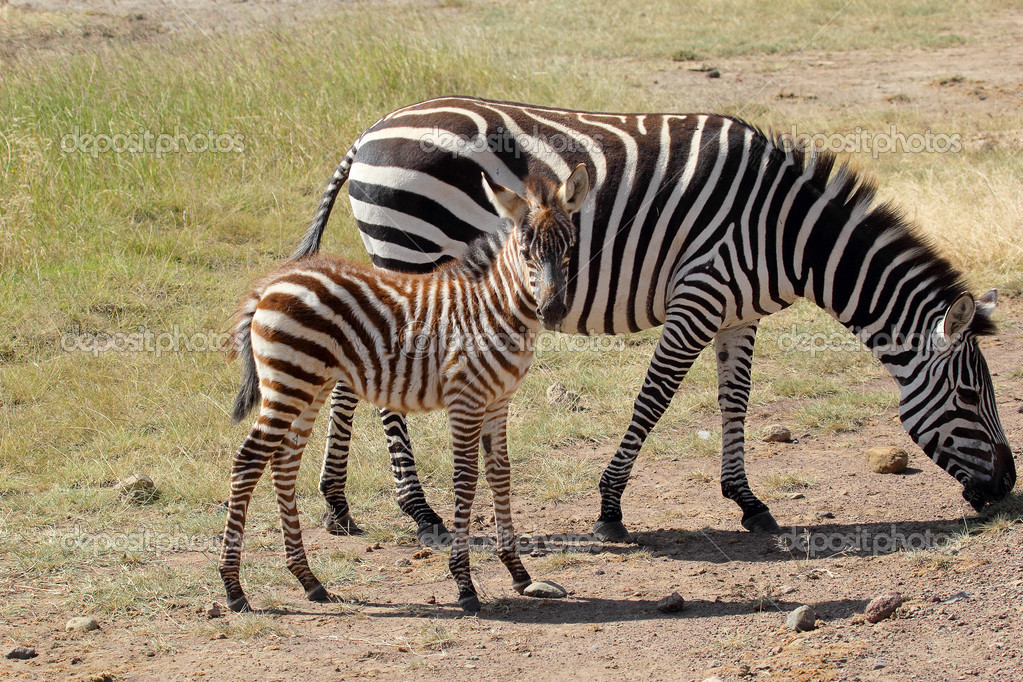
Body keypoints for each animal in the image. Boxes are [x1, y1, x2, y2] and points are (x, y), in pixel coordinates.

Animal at [218, 165, 589, 614]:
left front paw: (519, 573)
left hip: (308, 386)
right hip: (289, 383)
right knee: (247, 461)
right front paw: (464, 585)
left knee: (284, 464)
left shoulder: (499, 401)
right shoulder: (466, 400)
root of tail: (273, 283)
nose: (552, 311)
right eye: (525, 251)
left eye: (569, 248)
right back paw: (234, 589)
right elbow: (466, 478)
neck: (492, 308)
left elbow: (500, 474)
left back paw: (309, 580)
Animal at [296, 96, 1016, 546]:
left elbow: (735, 399)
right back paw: (419, 512)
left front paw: (747, 500)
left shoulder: (737, 315)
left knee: (352, 371)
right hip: (413, 252)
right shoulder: (699, 294)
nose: (1009, 486)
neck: (787, 232)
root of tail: (370, 132)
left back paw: (337, 506)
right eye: (969, 395)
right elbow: (656, 397)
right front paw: (610, 509)